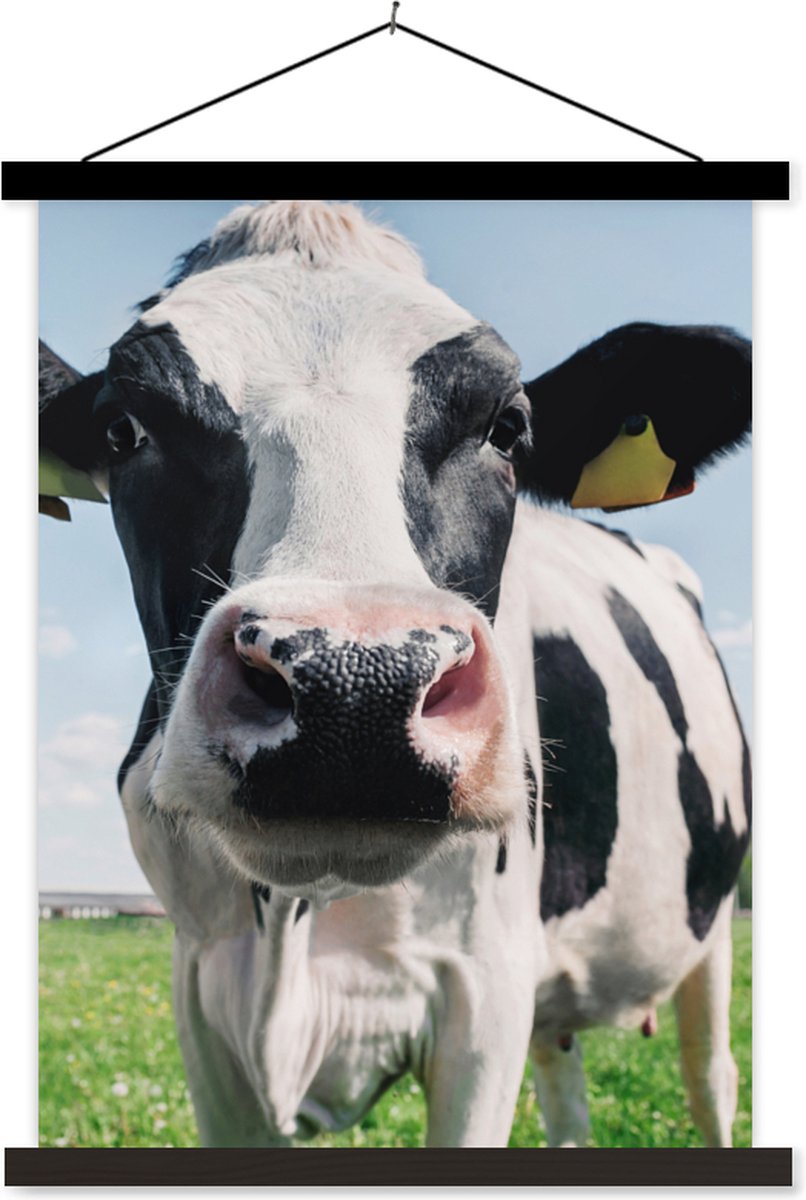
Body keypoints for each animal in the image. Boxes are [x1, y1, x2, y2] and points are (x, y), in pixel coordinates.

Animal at [39, 200, 751, 1148]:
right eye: (124, 428)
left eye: (507, 427)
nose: (355, 688)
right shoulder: (203, 993)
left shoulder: (483, 988)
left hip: (709, 927)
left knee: (711, 1077)